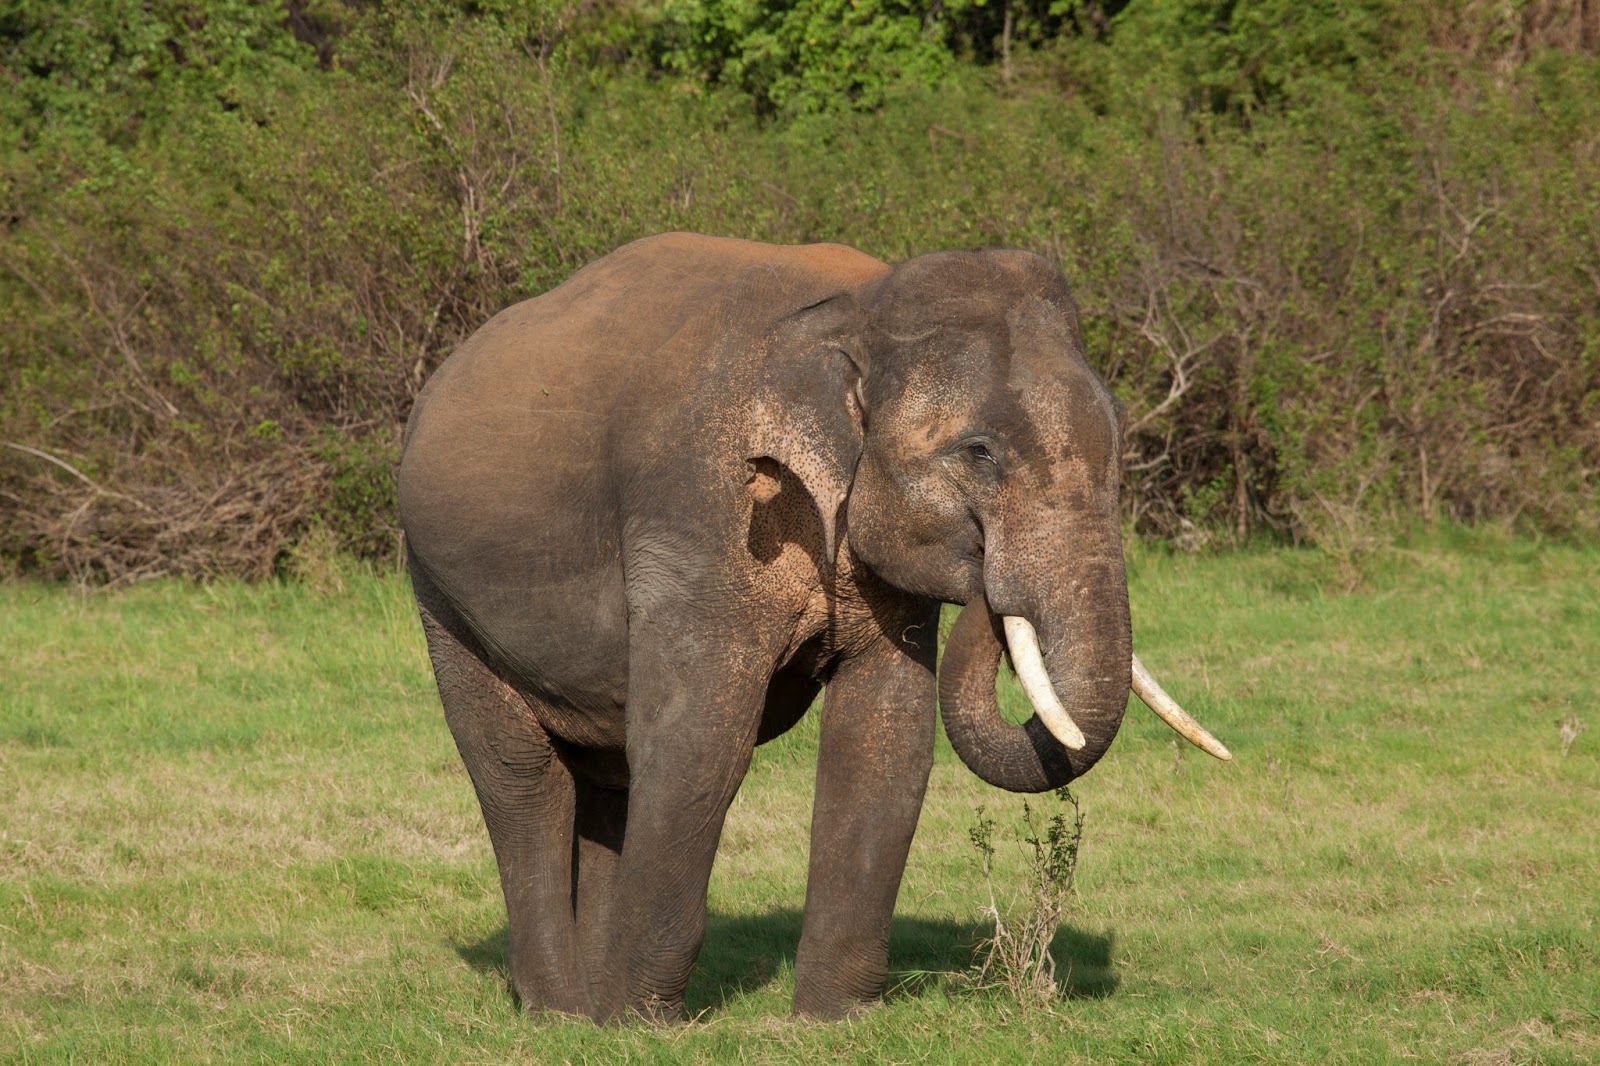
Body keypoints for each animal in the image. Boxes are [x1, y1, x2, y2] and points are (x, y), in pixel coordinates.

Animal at [397, 232, 1229, 1023]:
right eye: (979, 452)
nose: (989, 583)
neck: (859, 309)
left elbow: (886, 738)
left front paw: (832, 1020)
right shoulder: (702, 510)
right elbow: (702, 739)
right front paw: (640, 1026)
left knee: (608, 777)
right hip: (440, 593)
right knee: (519, 775)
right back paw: (564, 1013)